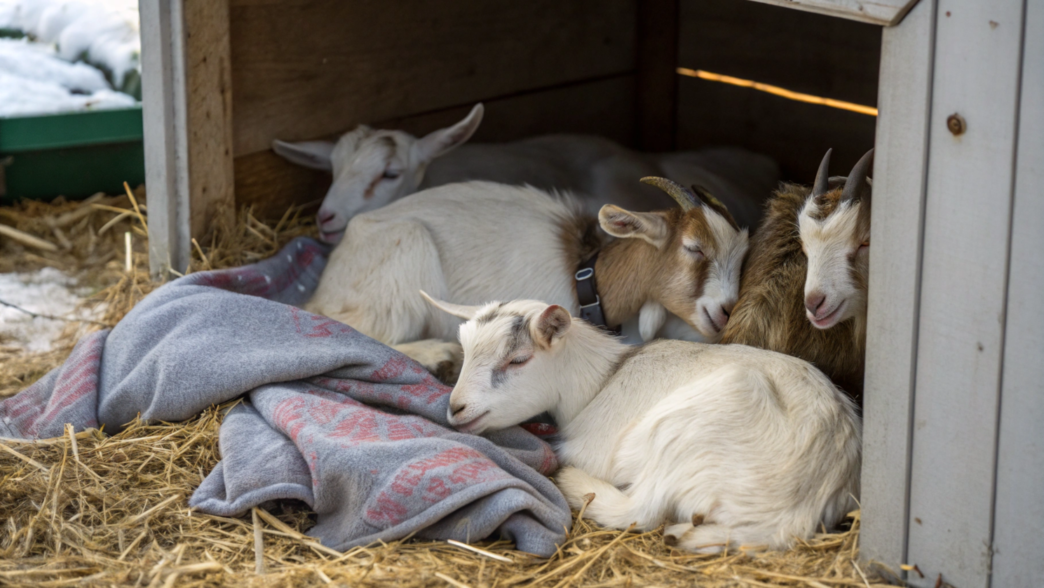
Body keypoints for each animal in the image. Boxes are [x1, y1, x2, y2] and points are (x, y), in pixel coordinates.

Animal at [304, 178, 749, 371]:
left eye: (743, 256)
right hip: (405, 254)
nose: (727, 311)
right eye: (694, 247)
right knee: (359, 331)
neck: (587, 275)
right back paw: (437, 354)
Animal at [422, 295, 862, 553]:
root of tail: (794, 511)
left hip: (687, 431)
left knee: (642, 509)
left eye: (517, 360)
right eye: (464, 351)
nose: (457, 409)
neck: (601, 380)